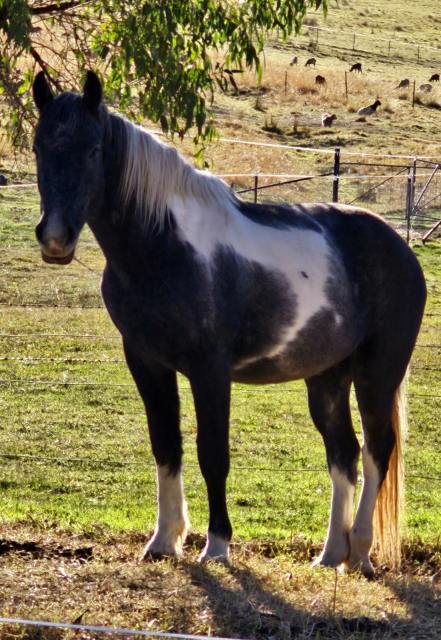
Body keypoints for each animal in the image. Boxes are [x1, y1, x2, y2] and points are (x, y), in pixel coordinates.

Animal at [32, 71, 426, 578]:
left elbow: (212, 453)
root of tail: (401, 249)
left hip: (377, 373)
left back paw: (358, 552)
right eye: (39, 147)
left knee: (379, 450)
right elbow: (167, 446)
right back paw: (329, 554)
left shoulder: (210, 370)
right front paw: (163, 541)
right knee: (344, 454)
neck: (163, 245)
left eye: (93, 150)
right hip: (326, 378)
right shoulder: (147, 363)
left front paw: (216, 545)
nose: (55, 239)